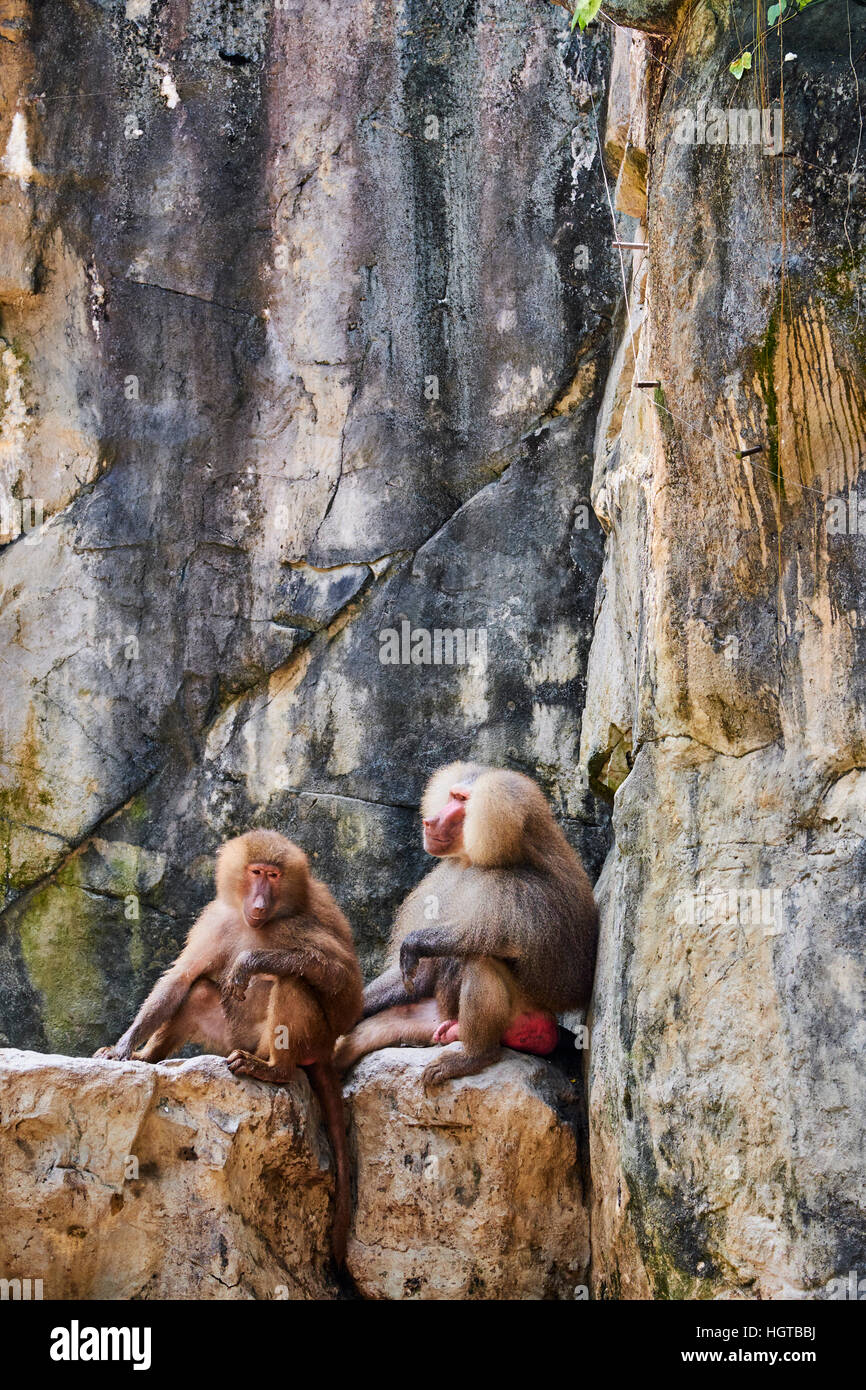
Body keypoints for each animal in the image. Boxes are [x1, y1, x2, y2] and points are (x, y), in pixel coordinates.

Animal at [95, 829, 363, 1264]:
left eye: (274, 875)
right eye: (256, 872)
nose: (259, 902)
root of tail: (321, 1051)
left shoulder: (315, 916)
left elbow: (341, 980)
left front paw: (252, 960)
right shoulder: (217, 920)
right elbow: (182, 979)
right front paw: (123, 1048)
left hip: (309, 1037)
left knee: (294, 981)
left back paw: (272, 1069)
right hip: (233, 1038)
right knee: (199, 992)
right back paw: (150, 1058)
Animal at [334, 762, 598, 1089]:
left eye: (462, 801)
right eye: (452, 795)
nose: (429, 822)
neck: (472, 861)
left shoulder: (521, 890)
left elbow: (498, 940)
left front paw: (416, 943)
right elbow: (419, 975)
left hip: (523, 1010)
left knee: (480, 959)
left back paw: (473, 1055)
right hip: (431, 1018)